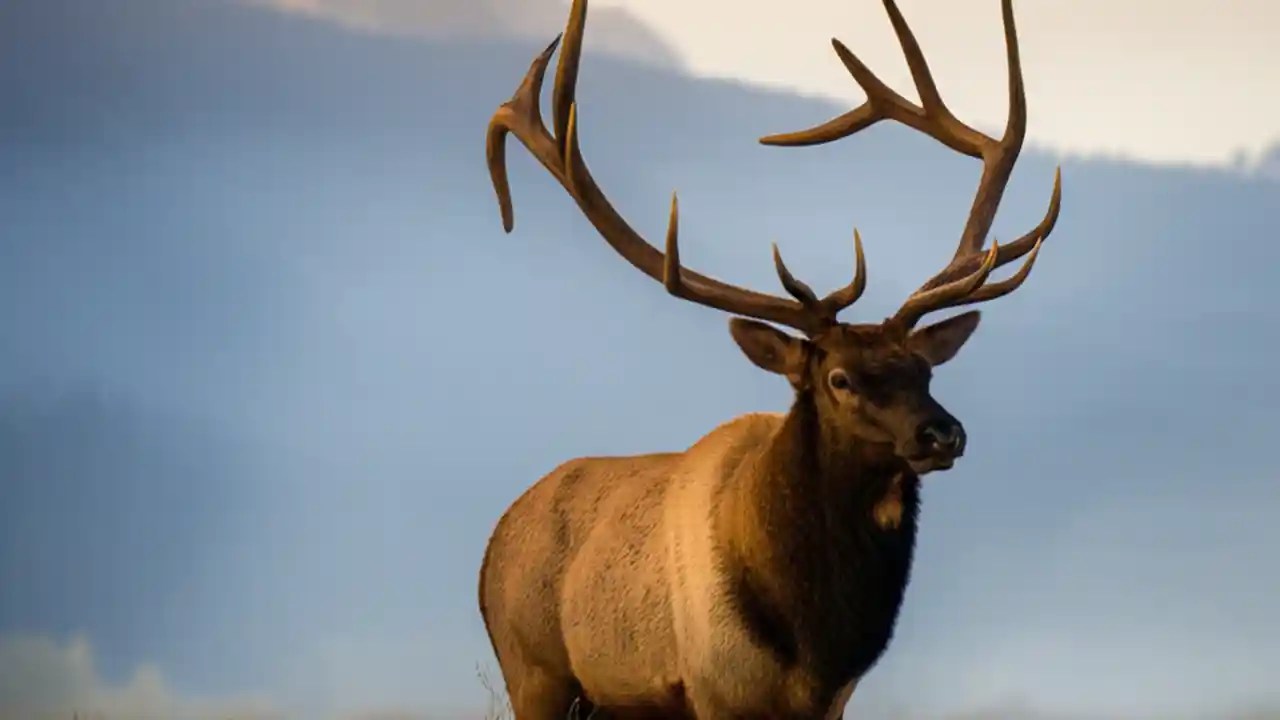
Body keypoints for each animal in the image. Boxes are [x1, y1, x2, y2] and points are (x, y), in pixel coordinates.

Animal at [477, 0, 1062, 718]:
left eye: (924, 370)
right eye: (838, 378)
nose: (942, 433)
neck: (814, 643)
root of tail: (491, 545)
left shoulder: (833, 701)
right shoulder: (713, 689)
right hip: (533, 671)